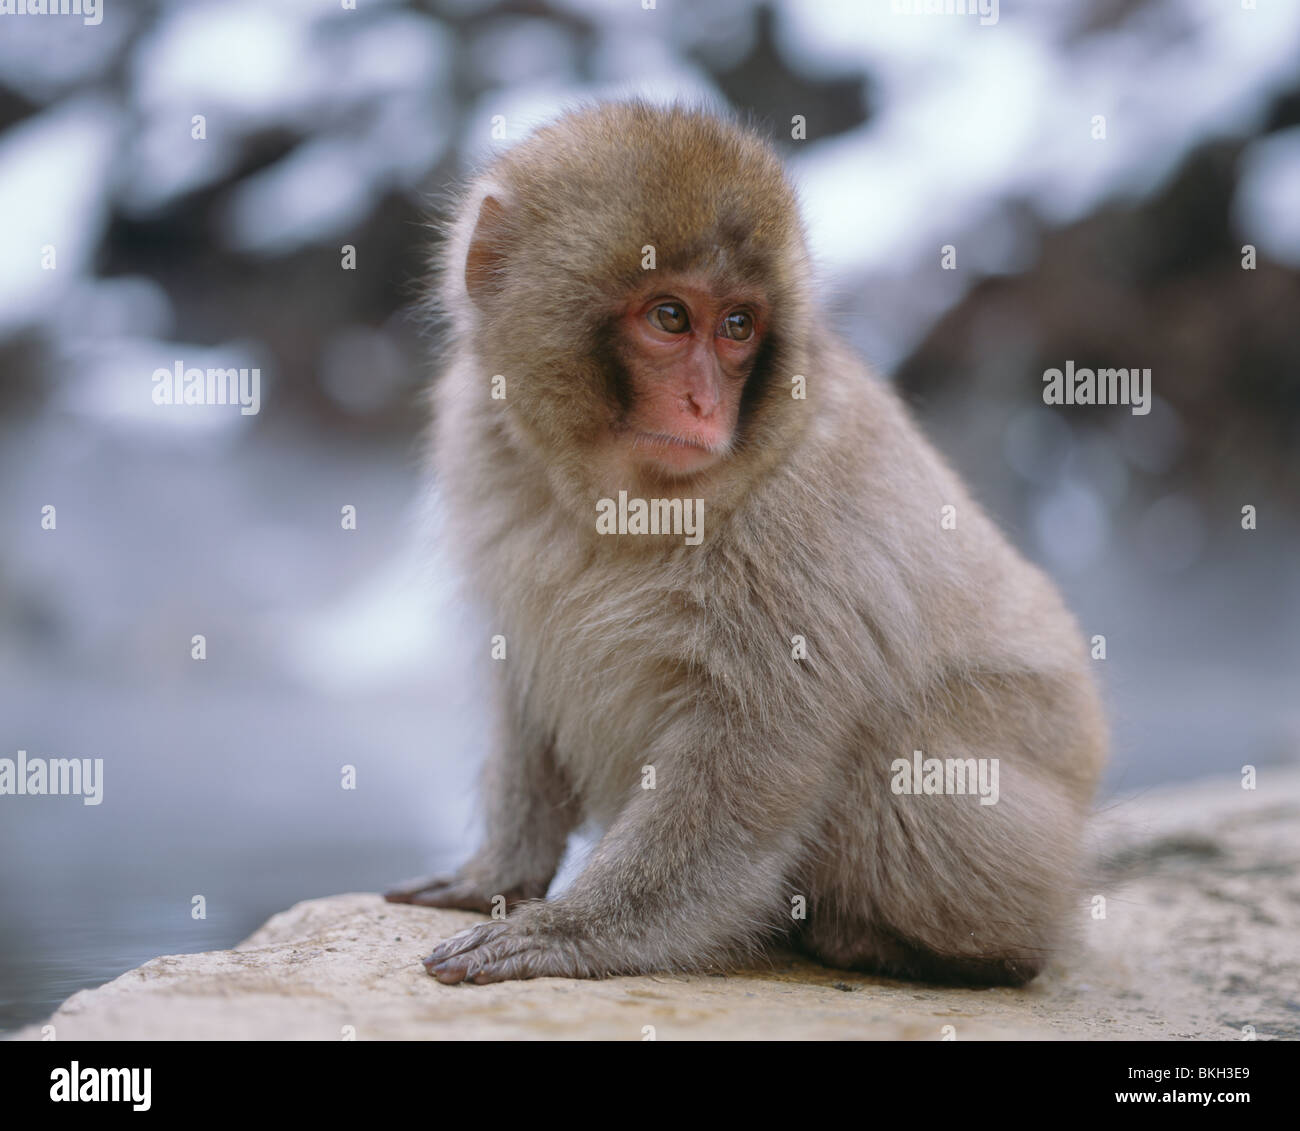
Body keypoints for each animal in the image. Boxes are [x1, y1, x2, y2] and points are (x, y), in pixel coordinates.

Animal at [384, 101, 1108, 989]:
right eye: (670, 316)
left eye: (738, 326)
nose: (706, 404)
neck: (621, 499)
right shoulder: (478, 435)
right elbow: (518, 672)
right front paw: (498, 873)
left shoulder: (797, 526)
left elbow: (754, 751)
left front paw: (569, 929)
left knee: (895, 750)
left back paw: (925, 947)